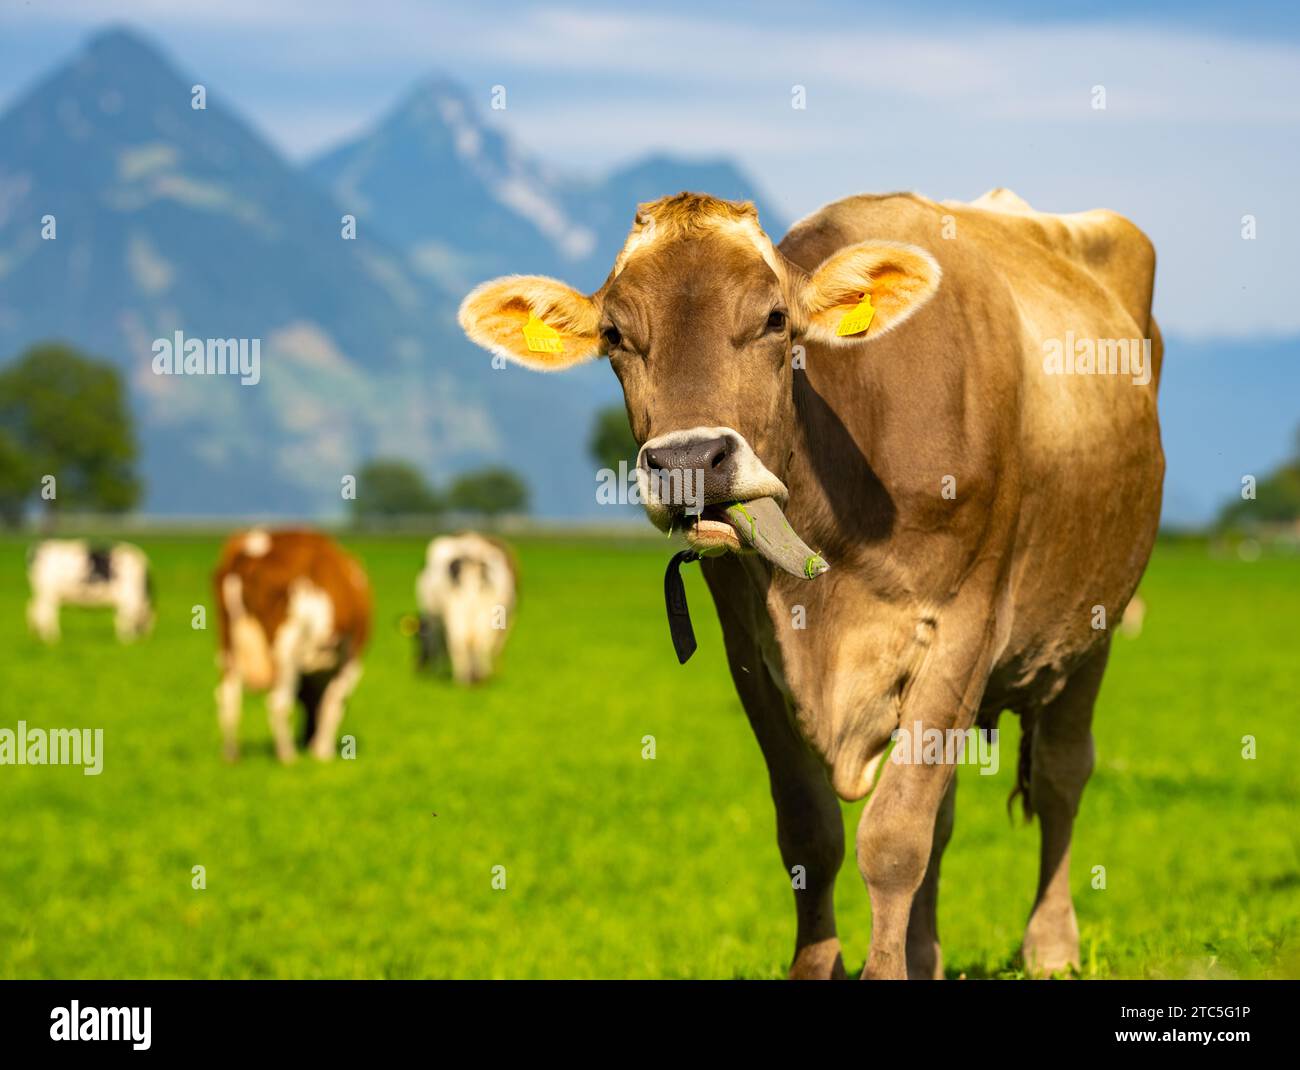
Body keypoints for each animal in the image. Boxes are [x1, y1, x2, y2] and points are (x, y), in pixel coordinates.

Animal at [213, 529, 372, 763]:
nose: (307, 740)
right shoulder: (350, 659)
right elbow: (334, 703)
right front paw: (323, 753)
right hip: (286, 650)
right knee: (278, 702)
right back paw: (288, 757)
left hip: (227, 645)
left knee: (228, 698)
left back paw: (231, 755)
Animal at [413, 533, 517, 684]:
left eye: (418, 639)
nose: (418, 668)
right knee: (475, 642)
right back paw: (475, 678)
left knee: (461, 642)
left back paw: (465, 679)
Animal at [457, 188, 1164, 980]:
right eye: (613, 332)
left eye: (774, 319)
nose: (690, 462)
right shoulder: (749, 647)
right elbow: (811, 829)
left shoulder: (968, 624)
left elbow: (895, 836)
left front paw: (888, 971)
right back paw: (927, 953)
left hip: (1094, 623)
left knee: (1061, 775)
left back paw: (1049, 946)